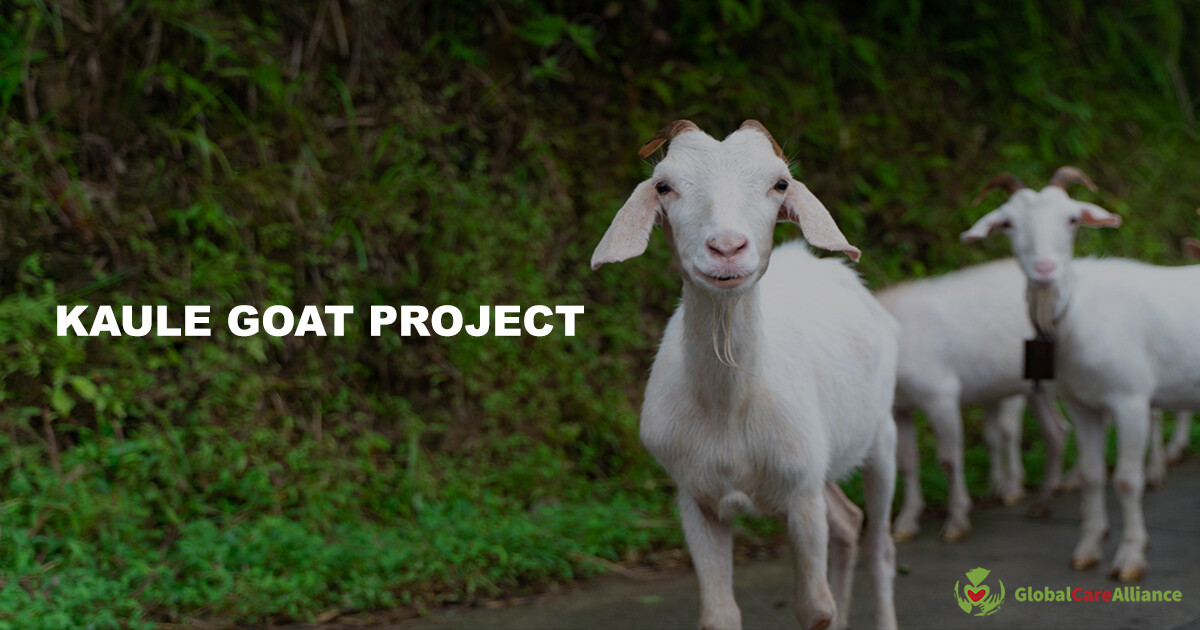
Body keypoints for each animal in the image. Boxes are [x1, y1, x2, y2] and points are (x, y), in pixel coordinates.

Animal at [592, 120, 899, 630]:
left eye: (780, 183)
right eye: (664, 186)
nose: (727, 248)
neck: (730, 406)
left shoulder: (802, 497)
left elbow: (815, 609)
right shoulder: (696, 498)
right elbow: (719, 614)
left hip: (881, 437)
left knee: (881, 548)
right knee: (848, 521)